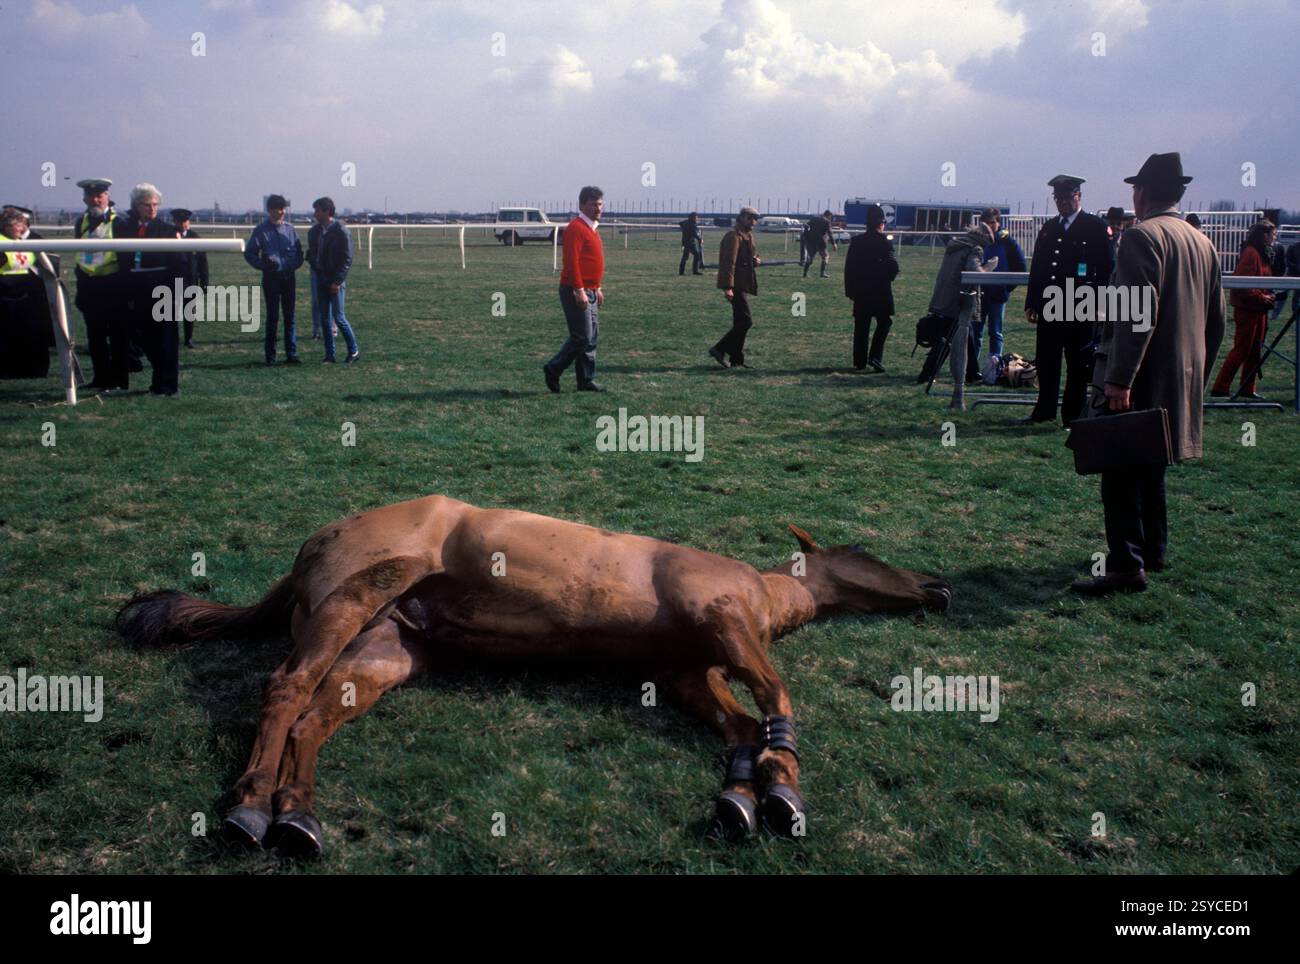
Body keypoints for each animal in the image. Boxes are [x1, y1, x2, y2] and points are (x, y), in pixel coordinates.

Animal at [117, 494, 951, 856]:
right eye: (865, 552)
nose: (937, 586)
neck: (763, 592)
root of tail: (311, 545)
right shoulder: (722, 618)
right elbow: (776, 697)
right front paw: (778, 791)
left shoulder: (688, 672)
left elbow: (745, 727)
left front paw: (753, 794)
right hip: (352, 599)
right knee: (285, 690)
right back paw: (250, 806)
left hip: (384, 649)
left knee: (315, 715)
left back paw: (297, 815)